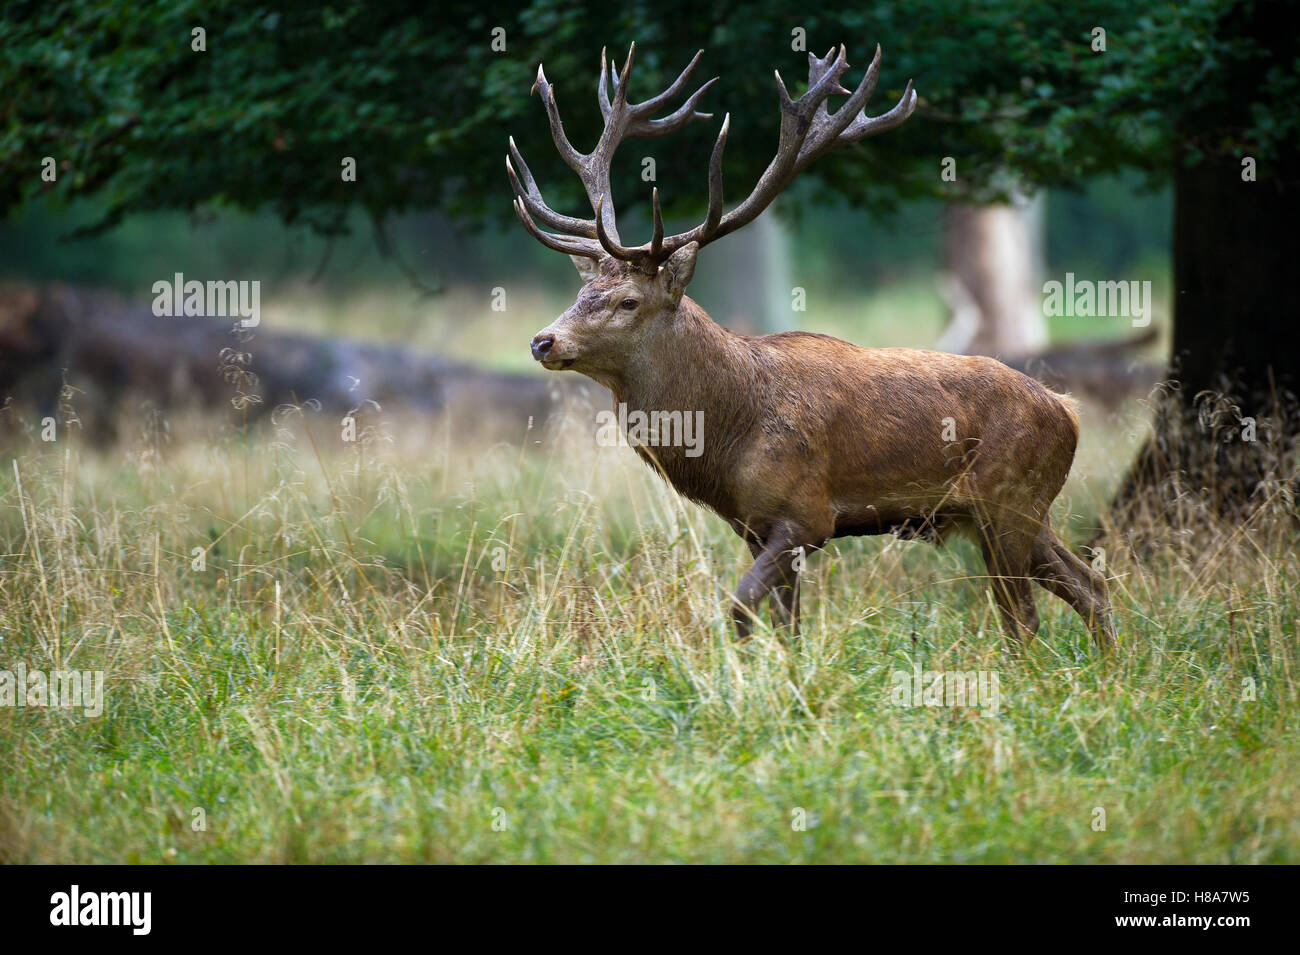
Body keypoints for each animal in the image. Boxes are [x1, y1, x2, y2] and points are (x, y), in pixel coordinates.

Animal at [507, 41, 1117, 653]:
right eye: (582, 291)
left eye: (629, 301)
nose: (542, 340)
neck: (728, 436)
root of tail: (1068, 412)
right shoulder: (753, 526)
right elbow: (785, 624)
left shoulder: (806, 514)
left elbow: (740, 605)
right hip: (1021, 511)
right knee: (1089, 584)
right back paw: (1108, 664)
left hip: (1007, 499)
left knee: (1025, 616)